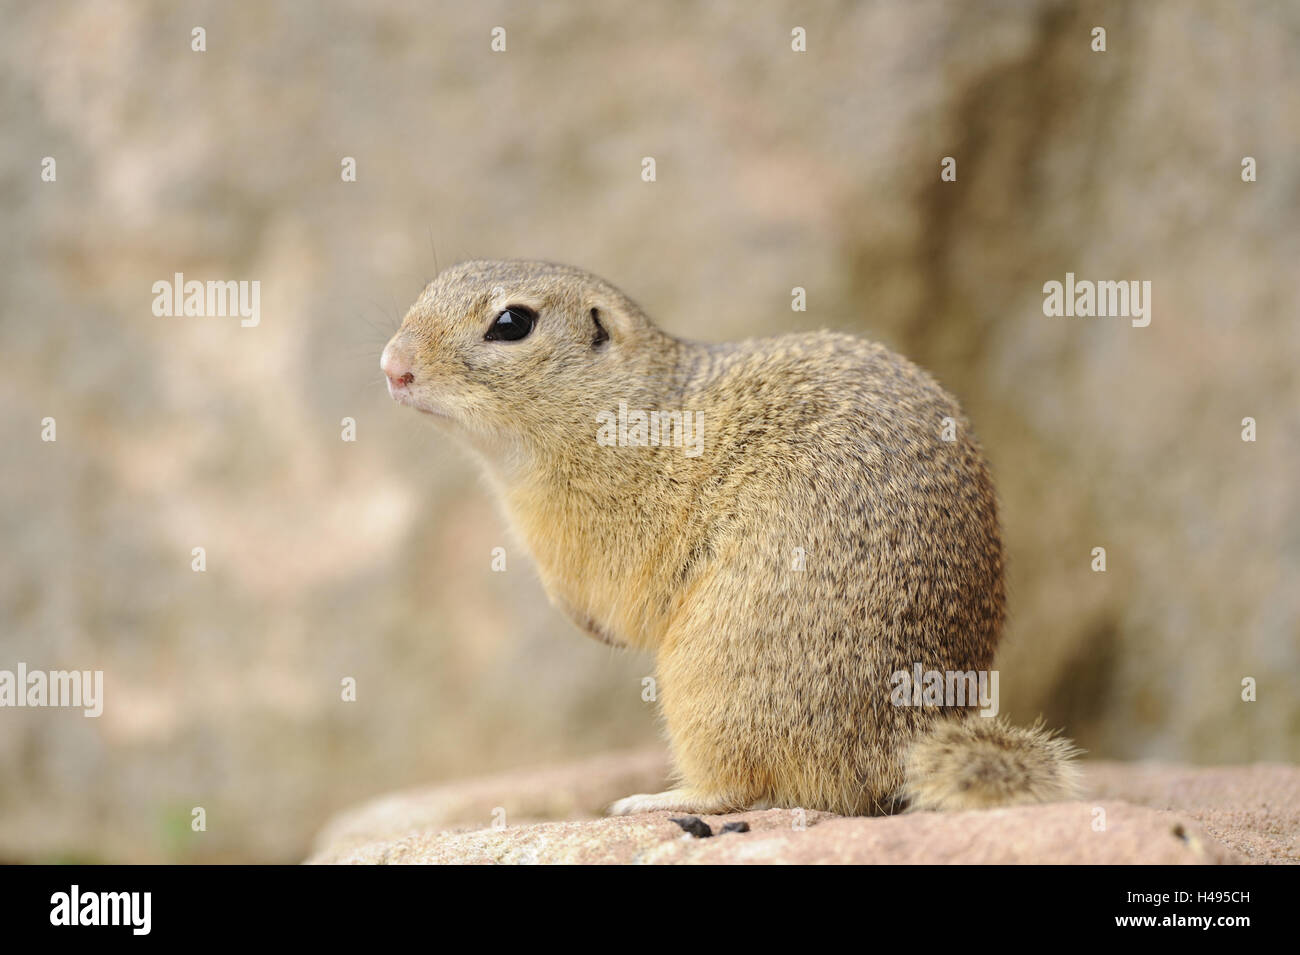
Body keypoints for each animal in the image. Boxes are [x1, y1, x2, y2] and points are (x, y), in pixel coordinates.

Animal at [380, 259, 1081, 816]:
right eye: (430, 287)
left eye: (511, 323)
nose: (391, 366)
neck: (623, 408)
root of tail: (900, 745)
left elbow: (612, 604)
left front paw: (595, 626)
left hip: (706, 681)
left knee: (739, 785)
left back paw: (657, 800)